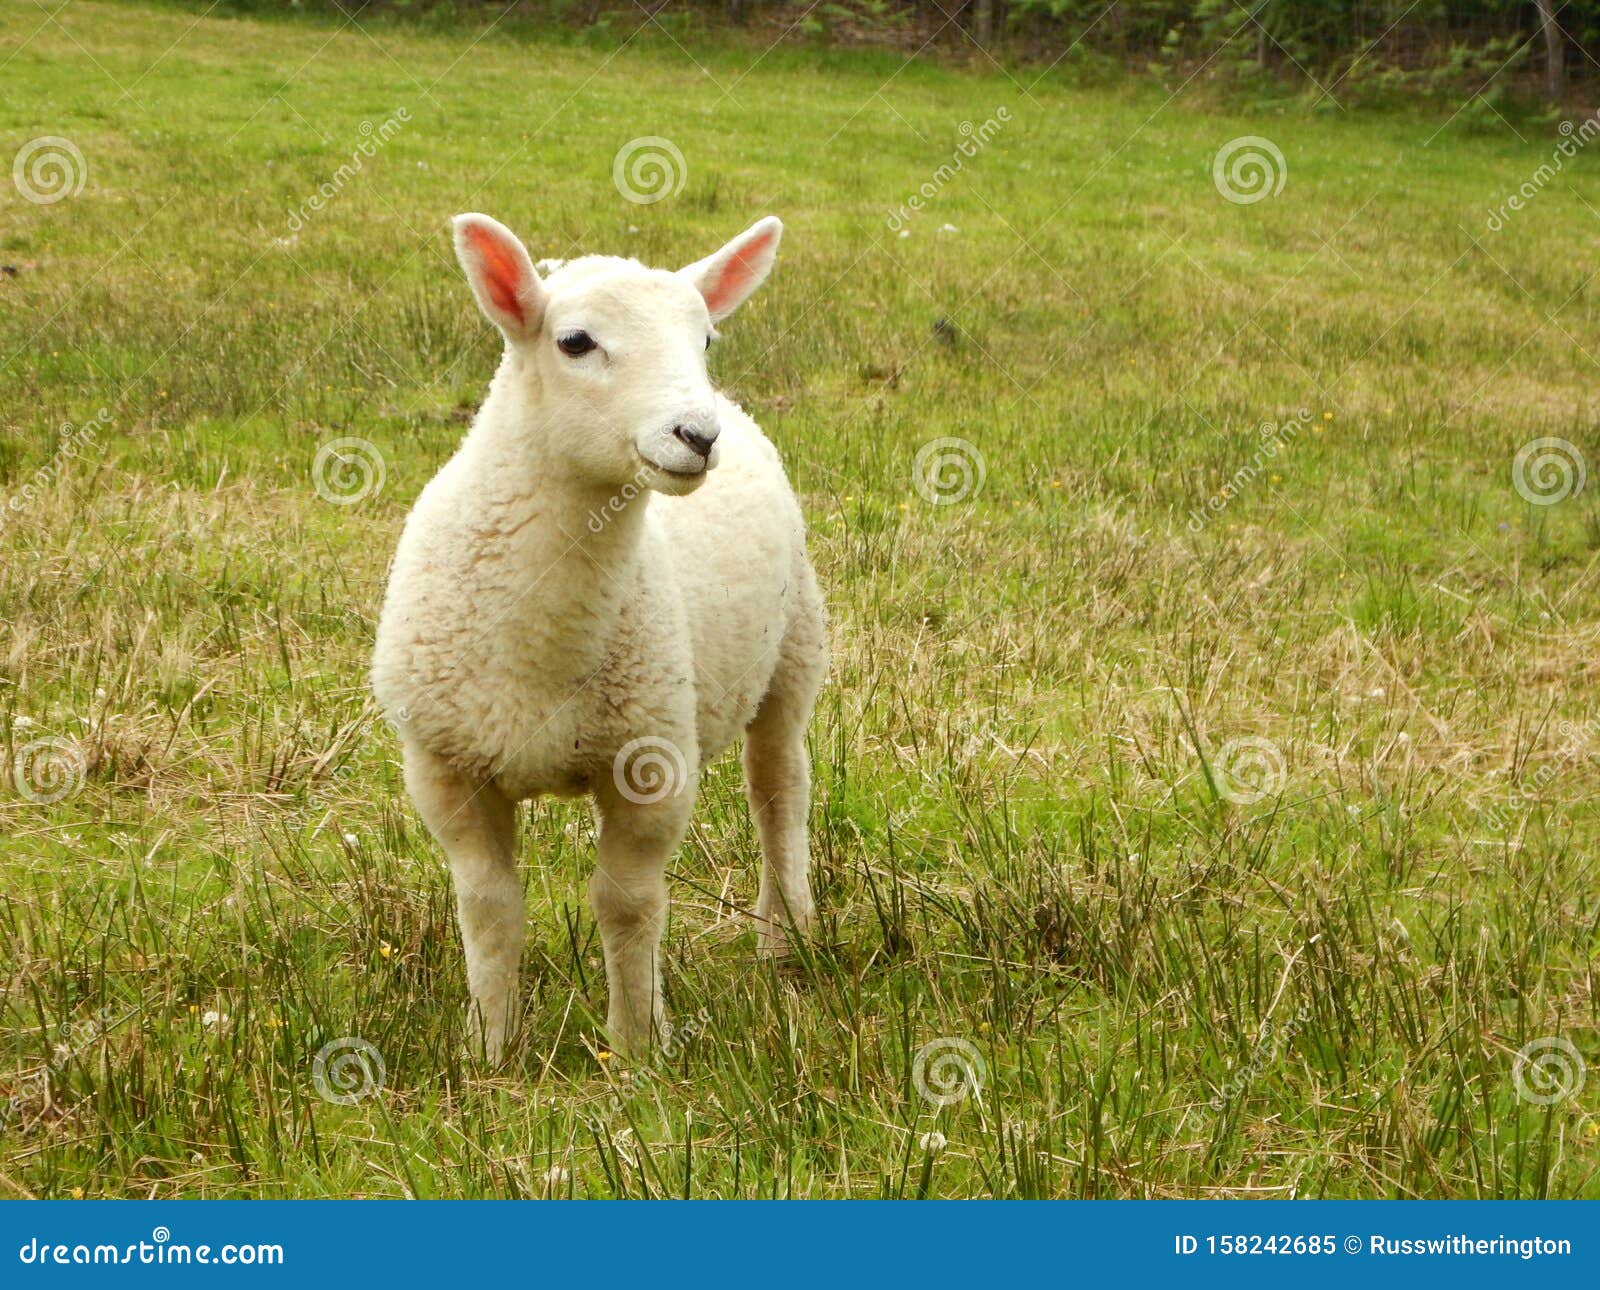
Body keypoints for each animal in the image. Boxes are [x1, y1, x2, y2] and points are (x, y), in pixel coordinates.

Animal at [371, 212, 827, 1061]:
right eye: (575, 341)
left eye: (705, 338)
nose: (697, 435)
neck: (541, 648)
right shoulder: (444, 767)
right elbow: (488, 907)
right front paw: (491, 1045)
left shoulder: (654, 765)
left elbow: (627, 901)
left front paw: (637, 1044)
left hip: (794, 653)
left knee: (779, 795)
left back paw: (787, 939)